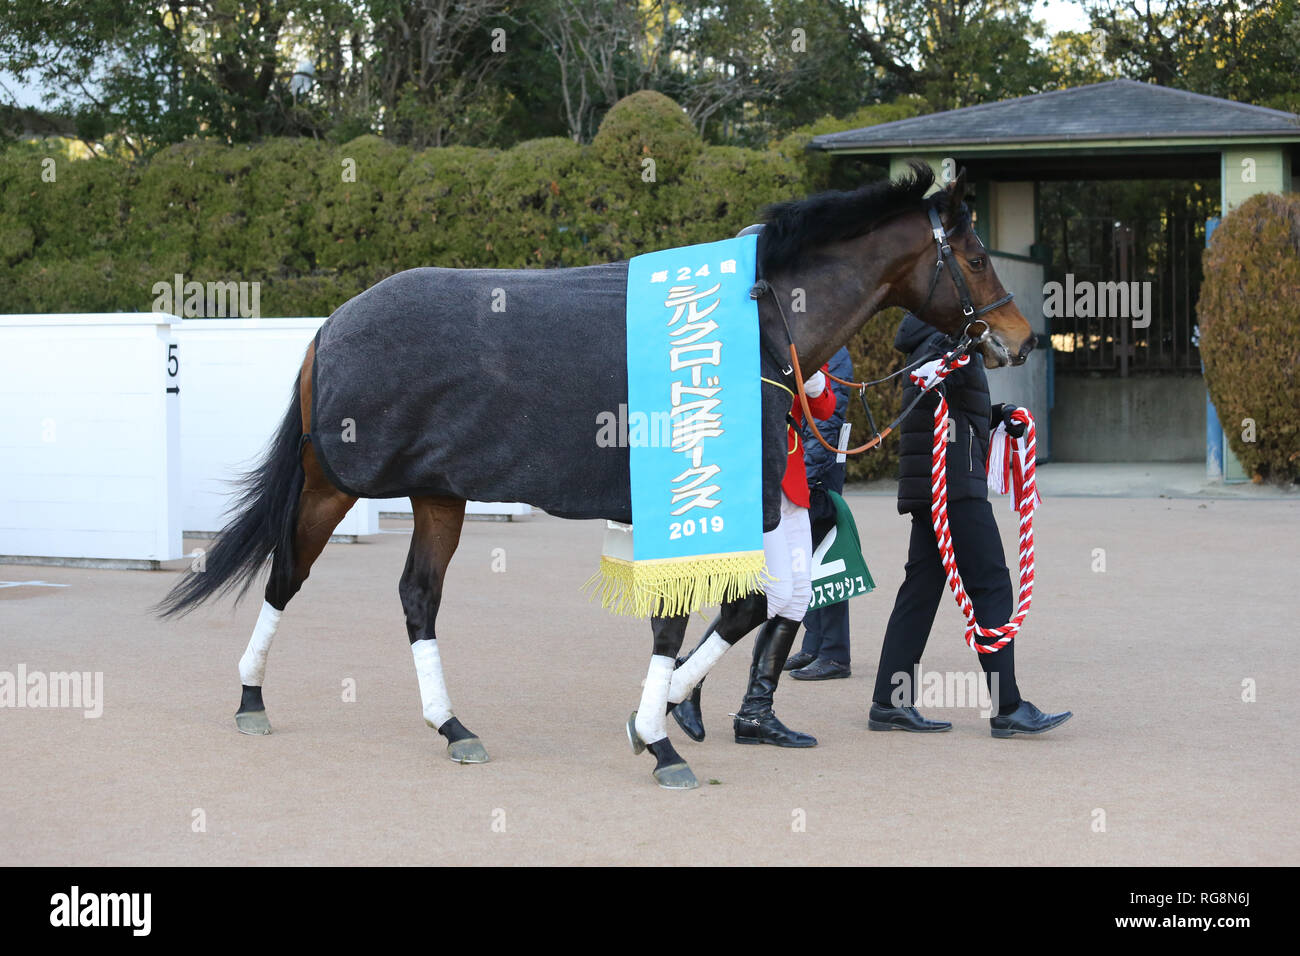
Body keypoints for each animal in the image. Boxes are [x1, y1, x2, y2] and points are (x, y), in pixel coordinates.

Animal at [157, 162, 1036, 790]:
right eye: (976, 255)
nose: (1019, 336)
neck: (752, 323)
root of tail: (332, 325)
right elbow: (680, 622)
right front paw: (660, 740)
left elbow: (743, 608)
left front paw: (672, 713)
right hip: (333, 481)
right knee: (287, 572)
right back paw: (251, 697)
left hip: (439, 492)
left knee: (417, 596)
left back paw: (453, 726)